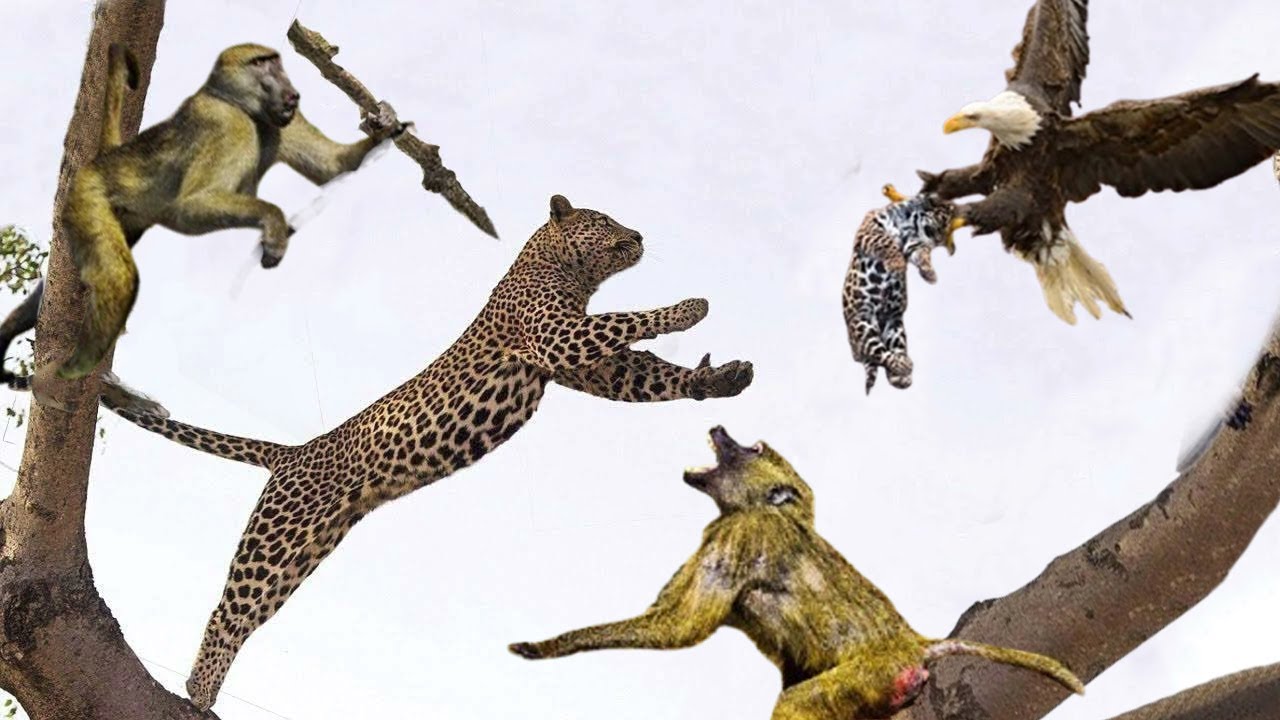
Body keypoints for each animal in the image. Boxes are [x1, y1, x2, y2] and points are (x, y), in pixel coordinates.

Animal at [100, 193, 754, 711]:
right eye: (603, 220)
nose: (639, 235)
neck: (563, 268)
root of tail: (294, 451)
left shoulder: (588, 365)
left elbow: (647, 374)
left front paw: (717, 378)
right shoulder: (556, 337)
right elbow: (629, 318)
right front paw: (690, 308)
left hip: (304, 553)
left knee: (246, 618)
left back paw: (204, 692)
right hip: (276, 537)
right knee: (224, 611)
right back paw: (198, 694)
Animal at [843, 184, 959, 394]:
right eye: (944, 223)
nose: (940, 241)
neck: (909, 223)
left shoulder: (914, 244)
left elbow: (921, 253)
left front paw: (930, 274)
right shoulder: (870, 228)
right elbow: (886, 242)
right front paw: (897, 263)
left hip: (894, 326)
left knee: (890, 353)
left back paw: (902, 374)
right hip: (863, 324)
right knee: (878, 353)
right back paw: (903, 366)